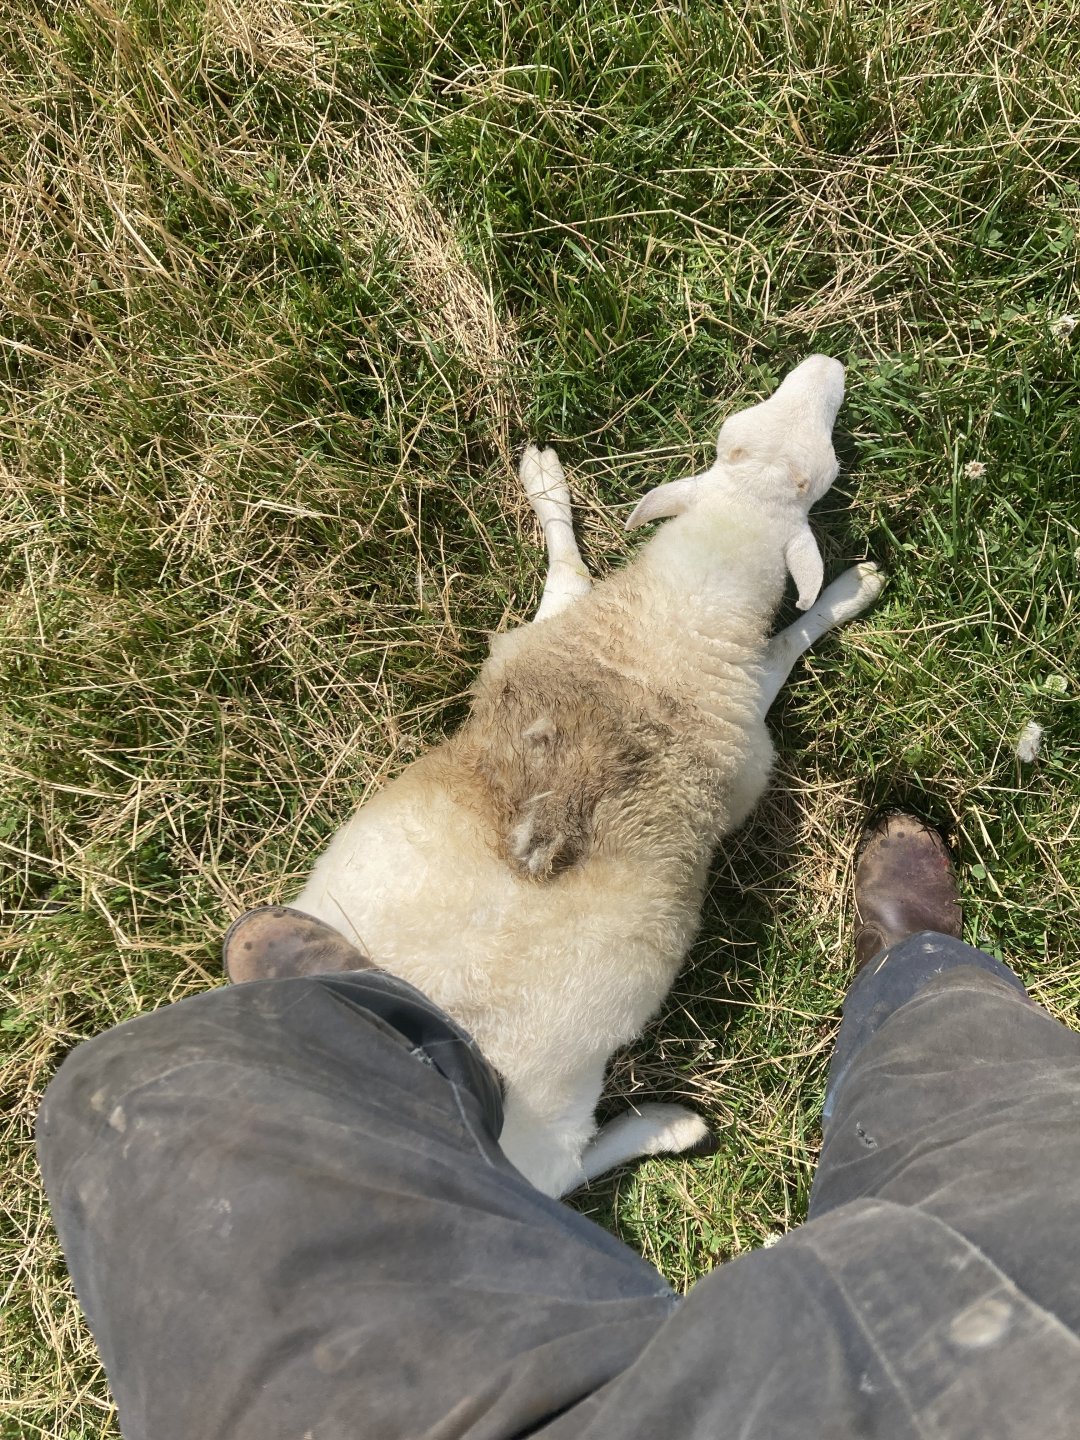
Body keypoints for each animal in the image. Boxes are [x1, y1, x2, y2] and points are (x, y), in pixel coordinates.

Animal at [282, 354, 884, 1199]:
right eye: (814, 476)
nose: (826, 366)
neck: (673, 620)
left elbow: (572, 570)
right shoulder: (747, 732)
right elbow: (780, 640)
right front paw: (845, 594)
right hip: (542, 1130)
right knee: (563, 1176)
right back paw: (666, 1126)